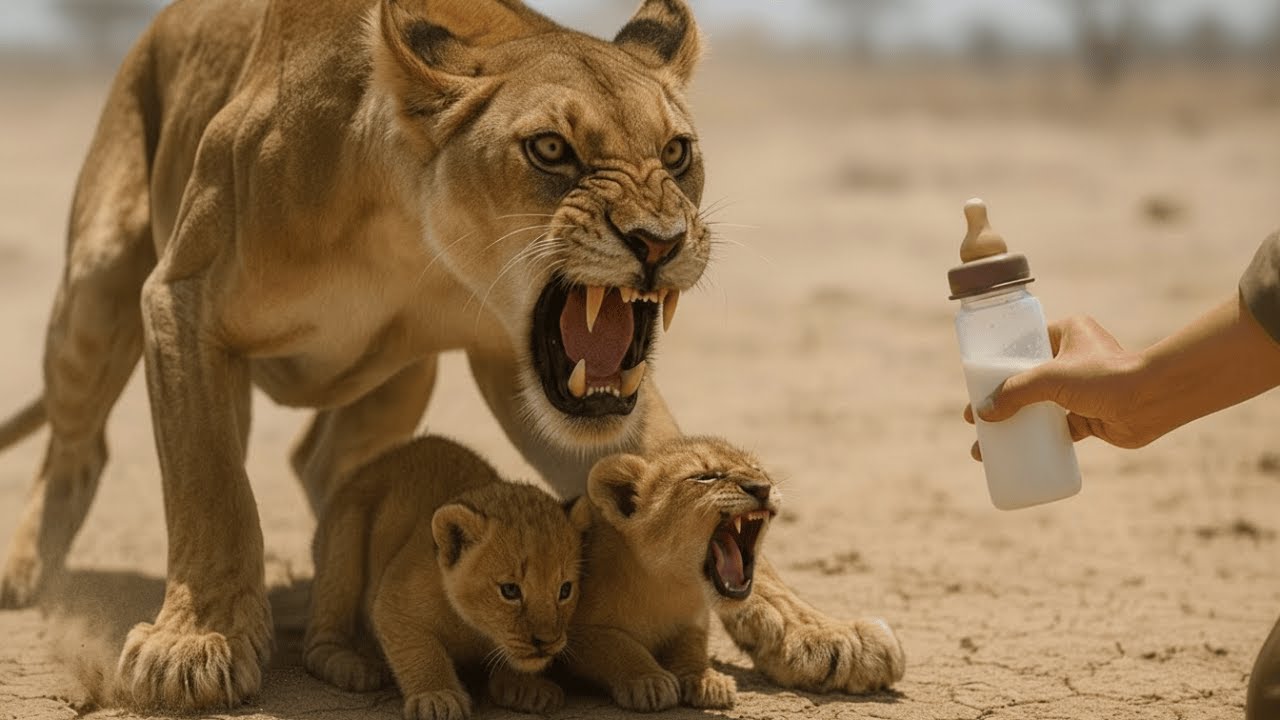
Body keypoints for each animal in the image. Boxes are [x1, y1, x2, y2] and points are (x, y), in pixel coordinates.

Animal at [305, 435, 584, 719]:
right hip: (344, 540)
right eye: (510, 591)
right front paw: (437, 696)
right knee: (320, 639)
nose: (546, 643)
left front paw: (526, 686)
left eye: (565, 590)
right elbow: (423, 652)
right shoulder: (394, 603)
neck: (473, 626)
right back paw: (353, 665)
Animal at [563, 436, 778, 712]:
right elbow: (614, 642)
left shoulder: (692, 622)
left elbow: (691, 645)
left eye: (757, 469)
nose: (762, 487)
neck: (668, 585)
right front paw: (649, 680)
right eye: (705, 477)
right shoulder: (563, 630)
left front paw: (707, 680)